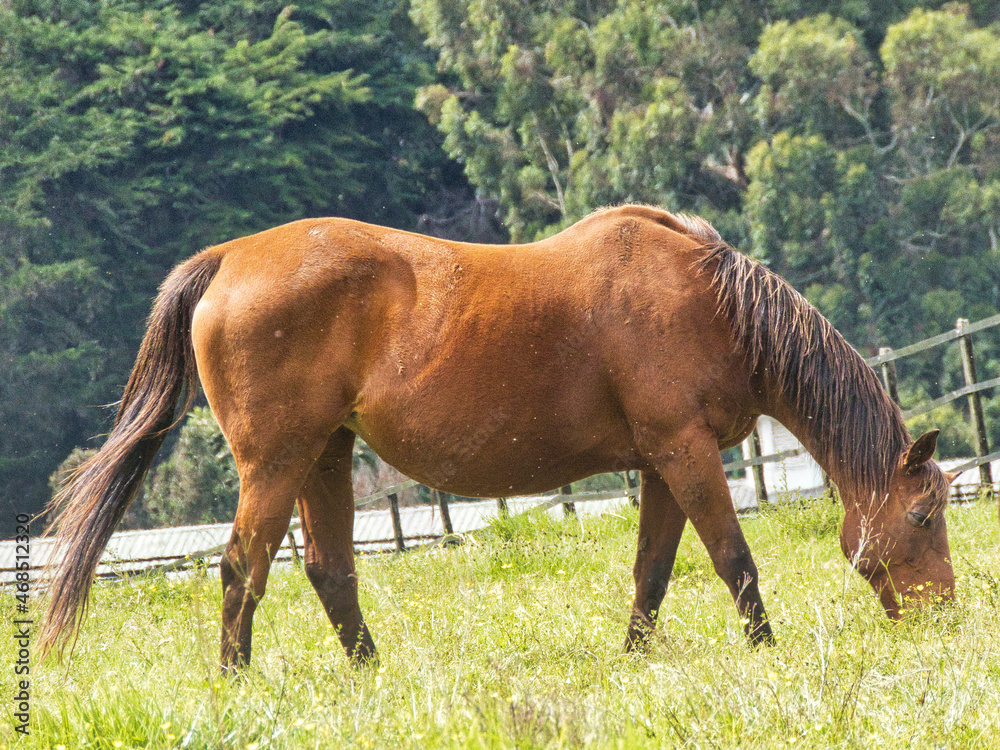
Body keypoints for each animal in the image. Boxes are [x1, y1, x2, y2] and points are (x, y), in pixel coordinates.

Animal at [40, 205, 957, 670]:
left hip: (324, 455)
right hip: (276, 463)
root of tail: (229, 258)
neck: (708, 301)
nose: (943, 613)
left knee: (329, 571)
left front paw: (636, 658)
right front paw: (766, 652)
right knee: (241, 567)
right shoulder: (686, 452)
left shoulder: (664, 462)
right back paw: (236, 678)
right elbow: (734, 558)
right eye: (922, 517)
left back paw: (369, 672)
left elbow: (653, 570)